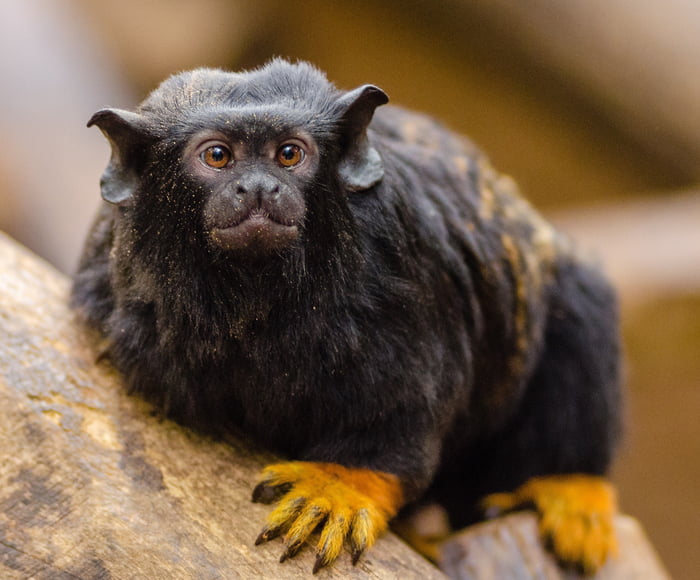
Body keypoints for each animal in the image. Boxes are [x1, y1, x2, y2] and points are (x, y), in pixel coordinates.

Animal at [72, 59, 622, 575]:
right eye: (218, 156)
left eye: (289, 154)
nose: (258, 188)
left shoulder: (404, 262)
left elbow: (403, 409)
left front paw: (339, 486)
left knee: (580, 307)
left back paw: (567, 486)